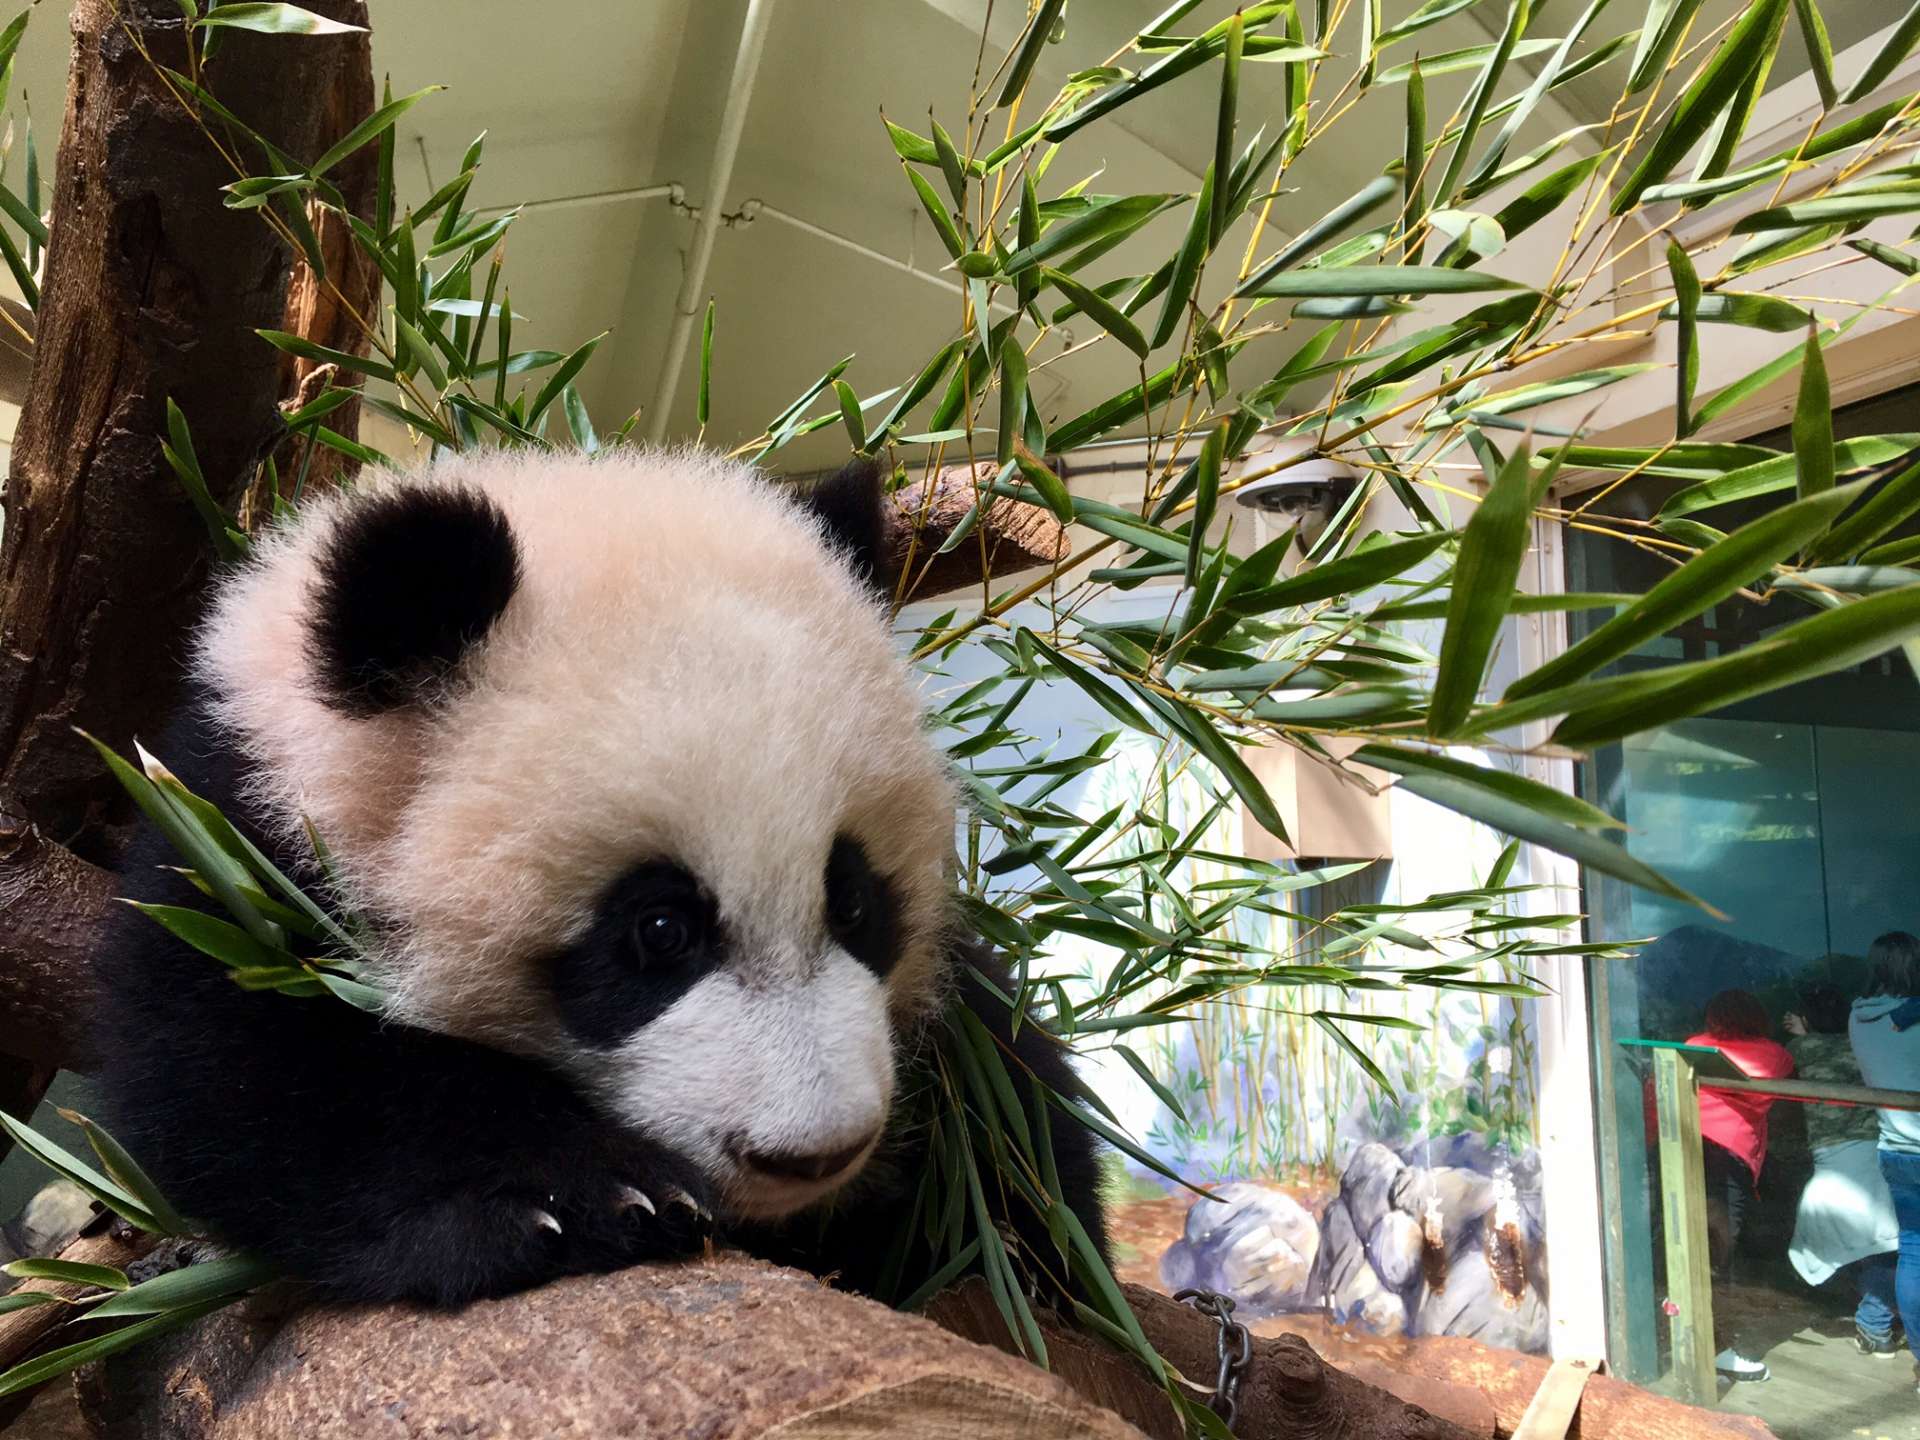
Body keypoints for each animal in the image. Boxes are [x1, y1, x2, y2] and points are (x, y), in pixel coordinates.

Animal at [91, 447, 1108, 1308]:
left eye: (854, 899)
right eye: (659, 931)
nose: (812, 1154)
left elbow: (1014, 1100)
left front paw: (1016, 1239)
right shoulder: (235, 829)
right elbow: (234, 1071)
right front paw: (583, 1197)